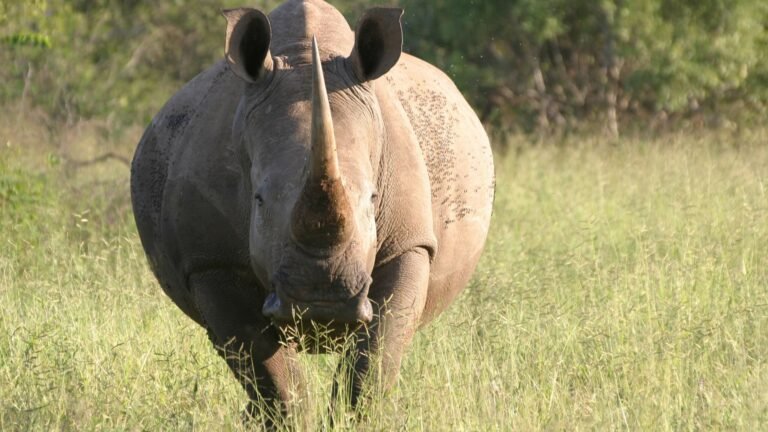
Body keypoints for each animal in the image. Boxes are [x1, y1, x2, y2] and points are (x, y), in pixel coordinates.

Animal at [131, 0, 494, 424]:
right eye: (258, 200)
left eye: (373, 198)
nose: (322, 302)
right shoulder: (208, 260)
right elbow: (269, 372)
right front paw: (290, 421)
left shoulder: (410, 243)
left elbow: (375, 359)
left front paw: (355, 421)